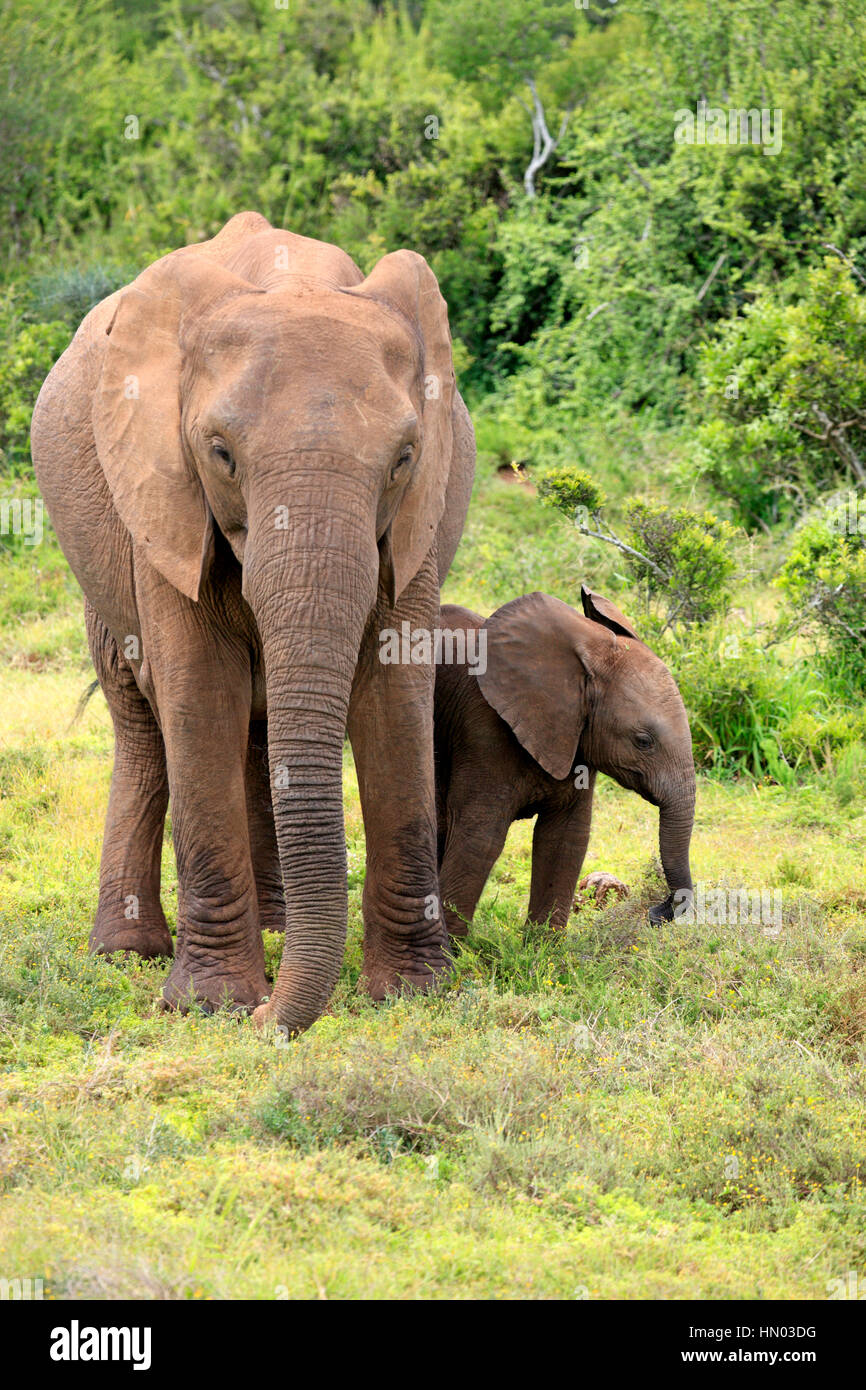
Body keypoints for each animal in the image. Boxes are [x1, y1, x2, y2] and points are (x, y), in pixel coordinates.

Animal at [31, 210, 475, 1035]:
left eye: (403, 458)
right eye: (221, 454)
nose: (272, 1016)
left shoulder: (415, 524)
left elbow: (396, 695)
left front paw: (413, 992)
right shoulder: (164, 492)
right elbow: (198, 691)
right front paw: (210, 1005)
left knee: (257, 729)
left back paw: (275, 928)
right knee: (143, 725)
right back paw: (126, 953)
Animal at [433, 587, 695, 936]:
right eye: (643, 741)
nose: (657, 912)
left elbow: (566, 837)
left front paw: (544, 948)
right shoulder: (483, 730)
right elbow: (480, 836)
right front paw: (450, 950)